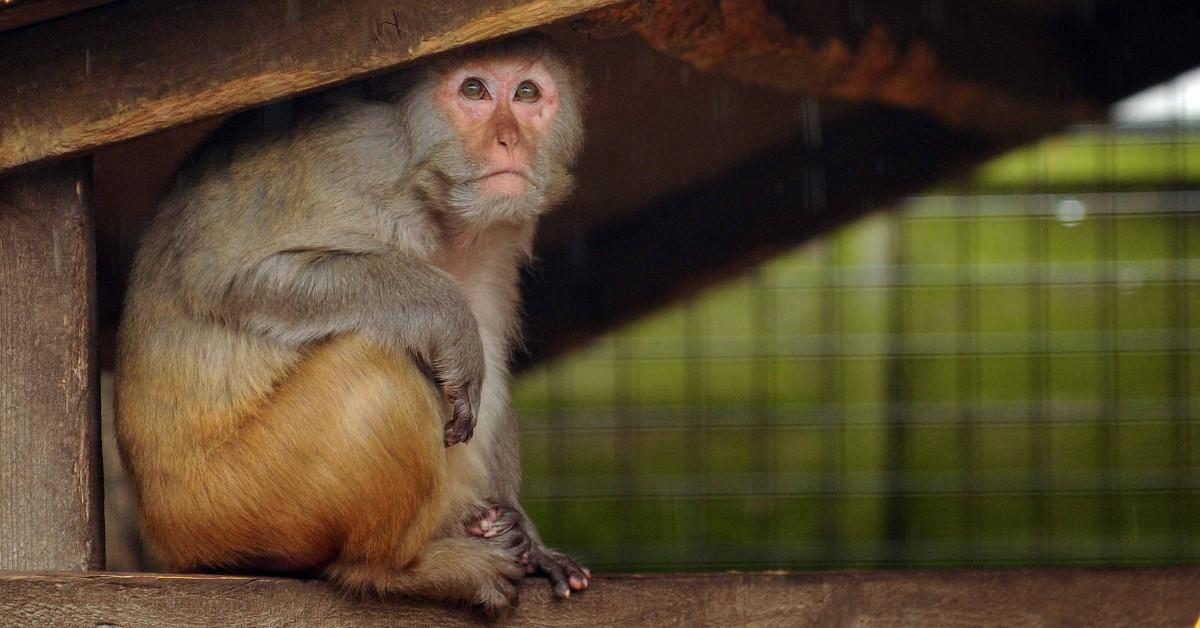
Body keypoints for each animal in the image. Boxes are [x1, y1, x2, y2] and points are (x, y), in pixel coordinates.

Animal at [114, 33, 588, 615]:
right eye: (474, 90)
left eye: (526, 93)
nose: (508, 140)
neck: (439, 204)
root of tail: (160, 530)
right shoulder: (357, 157)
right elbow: (227, 279)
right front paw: (445, 313)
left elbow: (490, 345)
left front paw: (528, 534)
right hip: (227, 505)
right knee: (374, 370)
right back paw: (393, 570)